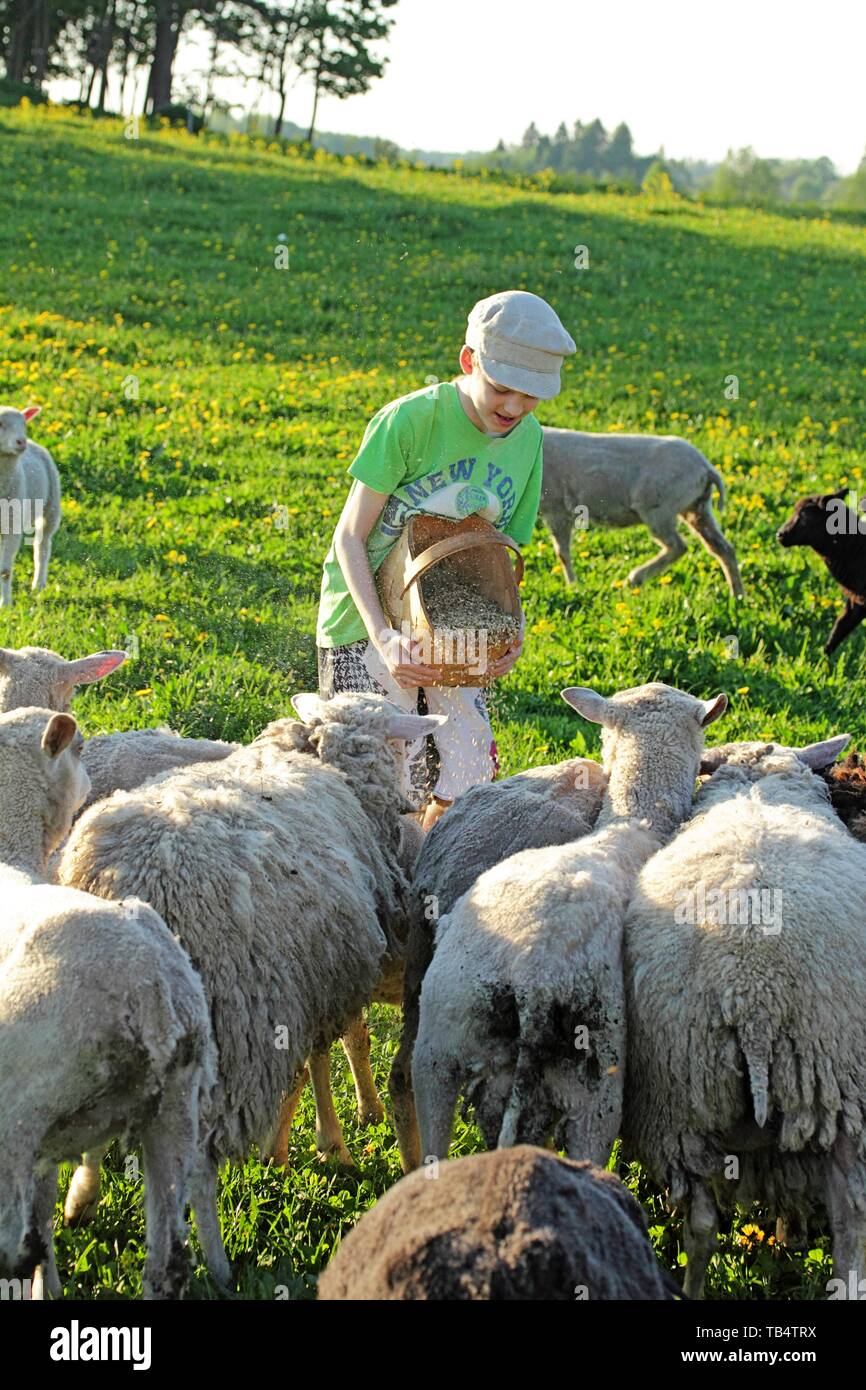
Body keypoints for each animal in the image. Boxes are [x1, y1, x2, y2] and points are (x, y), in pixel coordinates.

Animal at [0, 406, 61, 607]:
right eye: (0, 424)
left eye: (23, 424)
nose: (21, 442)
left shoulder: (12, 526)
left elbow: (5, 570)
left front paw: (5, 605)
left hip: (51, 506)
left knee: (42, 545)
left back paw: (38, 585)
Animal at [0, 706, 222, 1300]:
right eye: (80, 750)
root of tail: (150, 988)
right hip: (174, 1107)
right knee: (166, 1263)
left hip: (18, 1119)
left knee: (12, 1242)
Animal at [56, 692, 445, 1280]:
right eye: (402, 746)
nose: (413, 801)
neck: (330, 768)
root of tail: (135, 878)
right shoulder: (315, 975)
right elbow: (316, 1058)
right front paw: (325, 1144)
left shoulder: (312, 973)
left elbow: (316, 1060)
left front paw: (310, 1143)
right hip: (221, 1026)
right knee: (195, 1156)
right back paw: (214, 1264)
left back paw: (80, 1201)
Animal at [540, 426, 744, 596]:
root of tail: (706, 468)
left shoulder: (556, 509)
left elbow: (562, 553)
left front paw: (572, 585)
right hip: (697, 508)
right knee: (722, 548)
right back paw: (738, 596)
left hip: (659, 509)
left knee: (678, 546)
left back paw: (634, 579)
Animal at [622, 736, 866, 1298]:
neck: (758, 788)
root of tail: (756, 998)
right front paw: (791, 1233)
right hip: (832, 1087)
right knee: (848, 1223)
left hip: (680, 1103)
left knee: (702, 1224)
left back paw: (691, 1288)